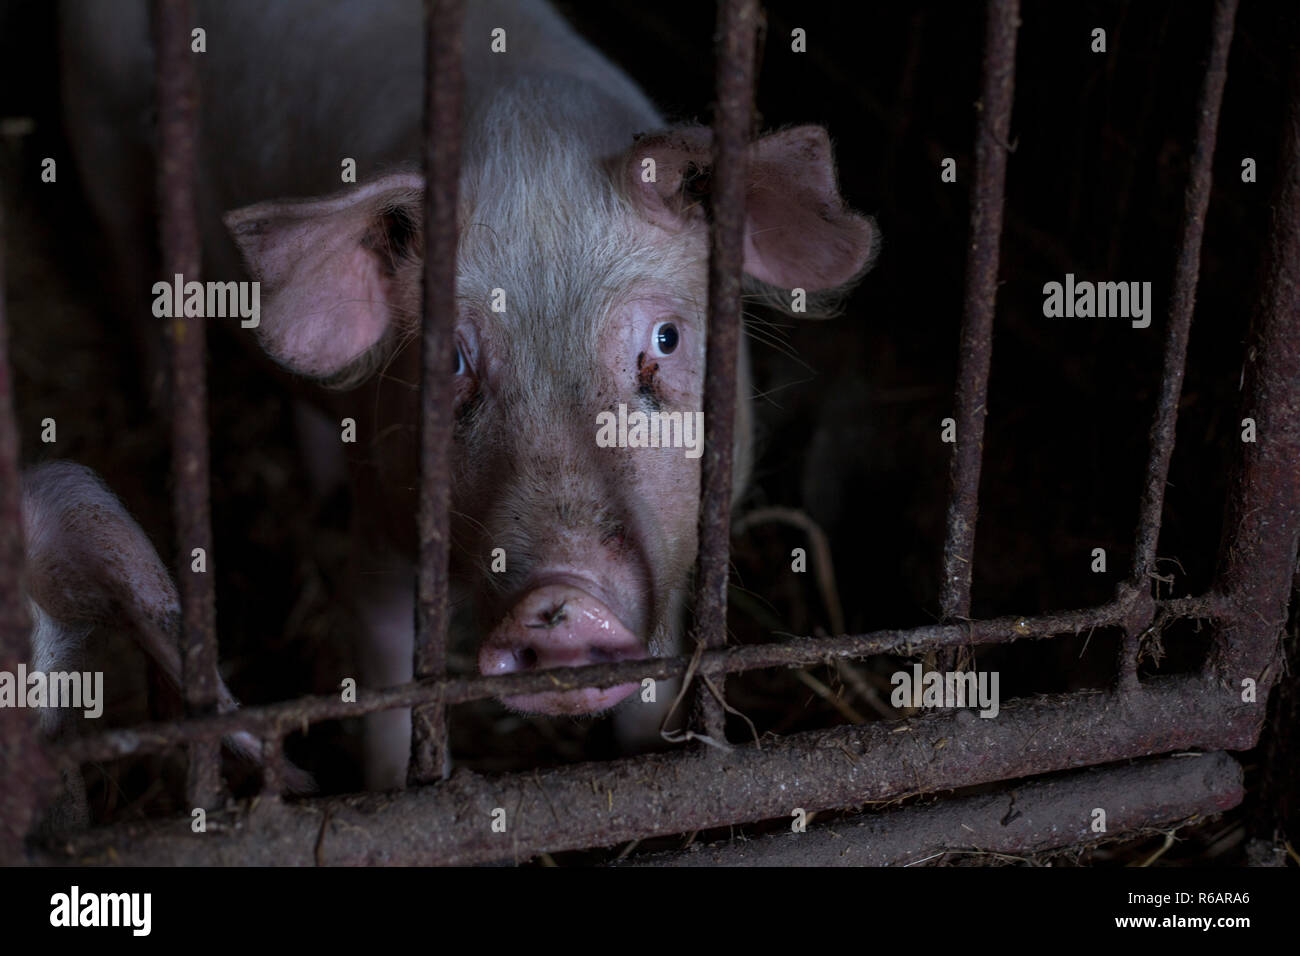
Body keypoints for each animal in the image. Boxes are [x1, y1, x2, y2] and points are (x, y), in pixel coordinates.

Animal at [59, 0, 878, 789]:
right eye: (450, 359)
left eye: (668, 339)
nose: (561, 602)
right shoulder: (386, 517)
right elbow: (390, 669)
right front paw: (396, 785)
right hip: (97, 101)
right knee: (130, 252)